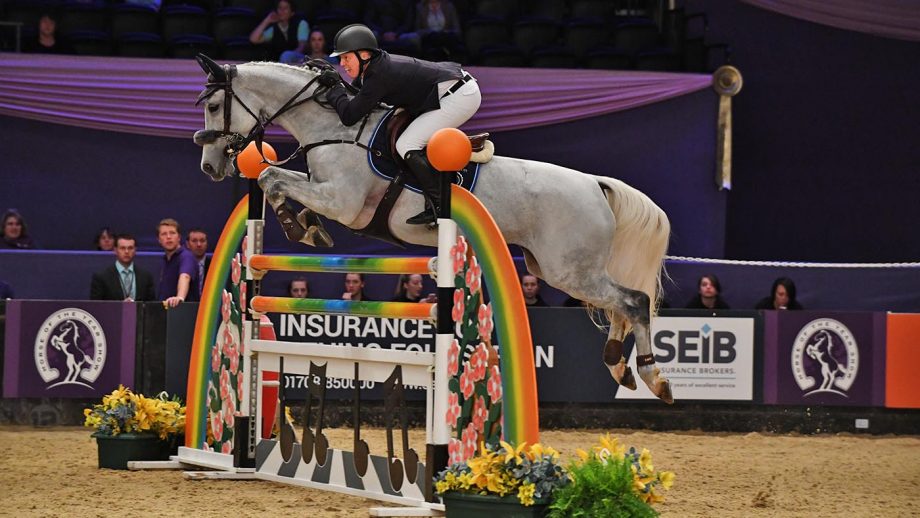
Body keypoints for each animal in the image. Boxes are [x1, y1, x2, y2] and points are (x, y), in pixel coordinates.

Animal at [192, 56, 674, 403]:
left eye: (214, 107)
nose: (210, 167)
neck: (334, 128)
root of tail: (595, 184)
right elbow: (272, 177)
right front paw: (306, 226)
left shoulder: (343, 202)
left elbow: (271, 178)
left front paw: (303, 228)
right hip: (558, 267)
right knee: (620, 305)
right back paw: (620, 367)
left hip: (568, 270)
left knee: (633, 300)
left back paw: (654, 377)